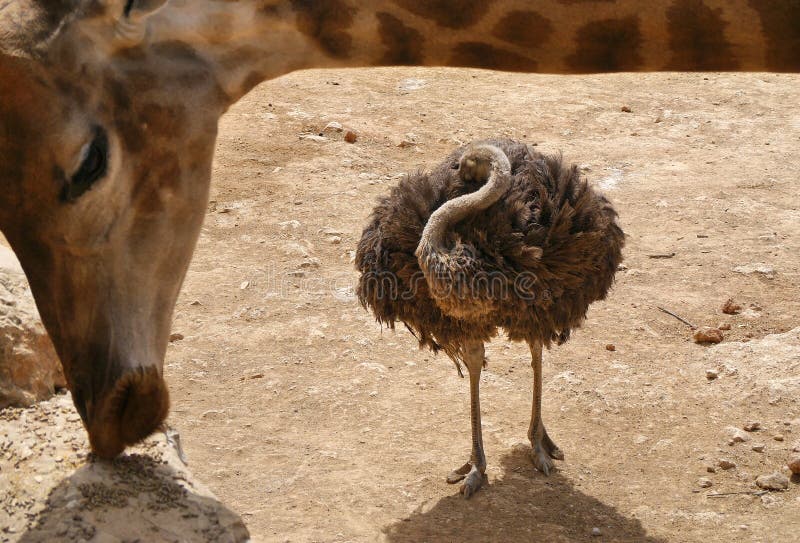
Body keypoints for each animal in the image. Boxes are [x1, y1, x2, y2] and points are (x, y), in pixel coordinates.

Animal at [0, 0, 797, 461]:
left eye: (87, 162)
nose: (110, 412)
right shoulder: (455, 315)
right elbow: (474, 363)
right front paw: (474, 463)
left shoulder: (536, 296)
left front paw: (533, 446)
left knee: (538, 347)